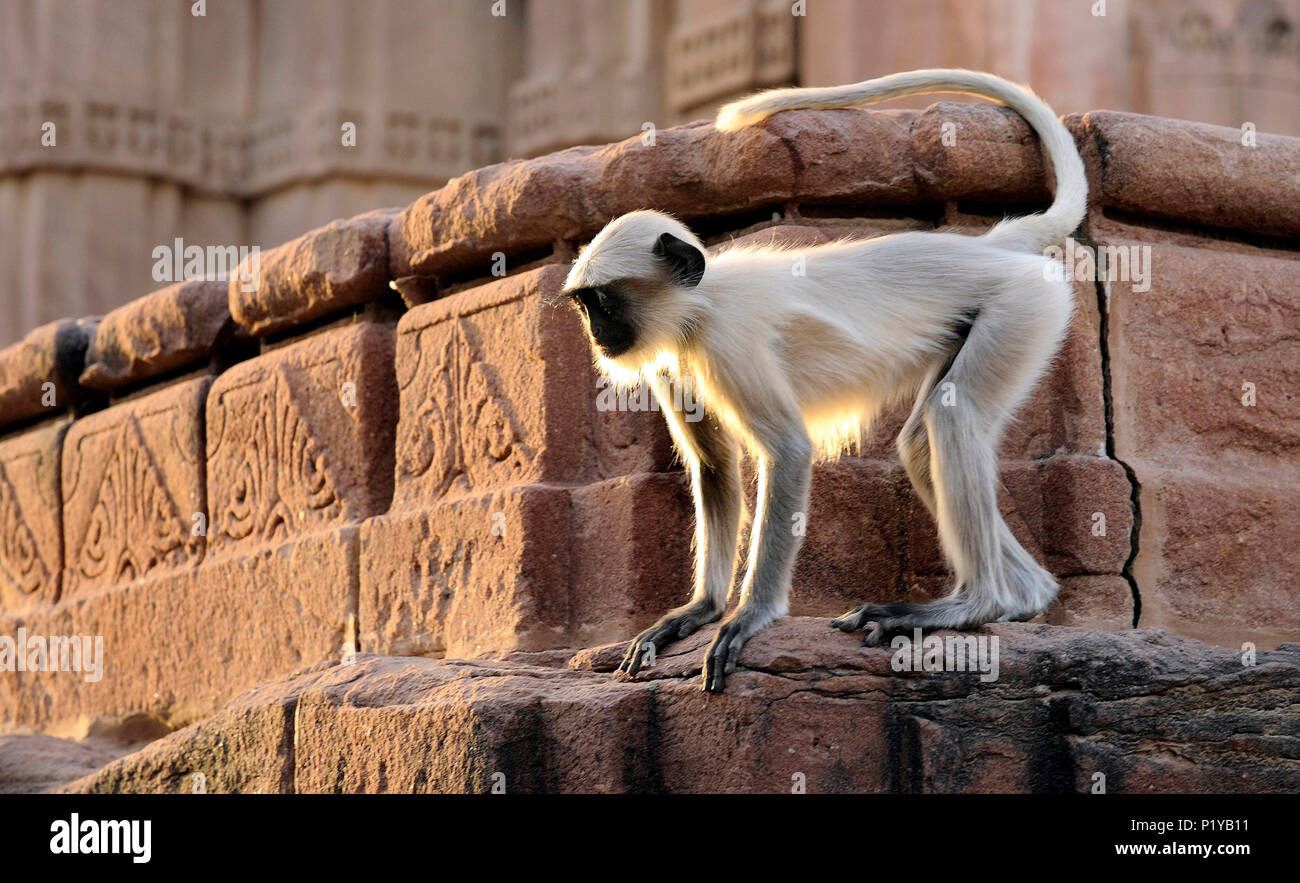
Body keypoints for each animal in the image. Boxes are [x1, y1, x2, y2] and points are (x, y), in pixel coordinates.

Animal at [561, 69, 1086, 692]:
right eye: (585, 305)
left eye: (603, 303)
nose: (597, 335)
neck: (701, 300)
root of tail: (990, 248)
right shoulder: (677, 356)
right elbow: (714, 466)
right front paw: (700, 610)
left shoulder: (727, 340)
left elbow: (787, 451)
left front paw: (749, 616)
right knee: (921, 441)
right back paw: (1024, 597)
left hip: (1023, 306)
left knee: (953, 418)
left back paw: (974, 605)